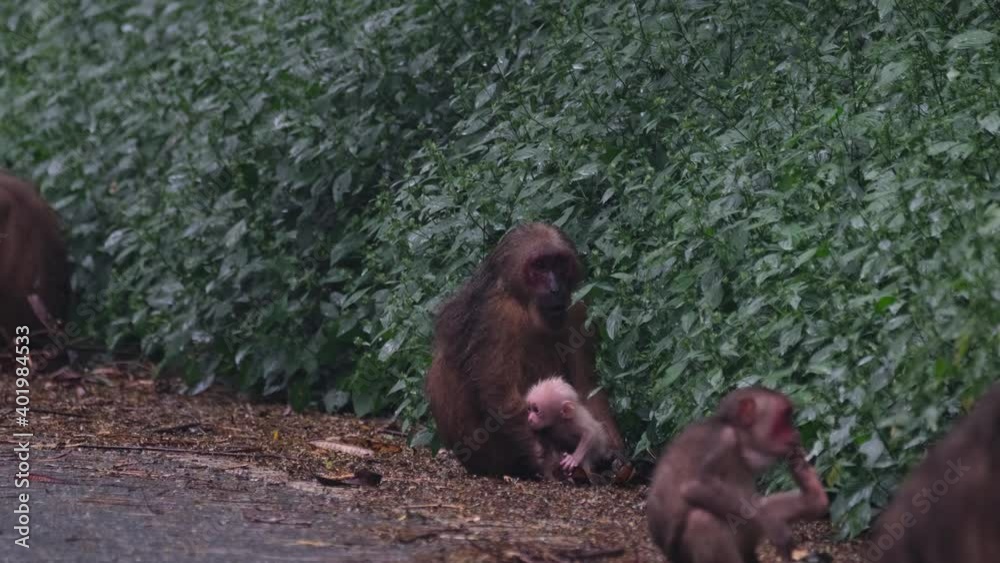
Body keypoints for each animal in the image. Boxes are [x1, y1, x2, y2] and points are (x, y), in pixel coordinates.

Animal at [425, 222, 624, 478]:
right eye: (540, 266)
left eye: (559, 263)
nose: (555, 288)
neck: (525, 303)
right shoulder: (499, 314)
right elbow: (500, 394)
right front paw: (548, 459)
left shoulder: (578, 309)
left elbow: (586, 385)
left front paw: (614, 453)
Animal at [647, 387, 829, 563]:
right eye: (783, 420)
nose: (795, 433)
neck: (741, 441)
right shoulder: (724, 441)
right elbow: (695, 486)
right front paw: (773, 524)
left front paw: (797, 459)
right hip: (683, 556)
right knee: (703, 520)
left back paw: (814, 496)